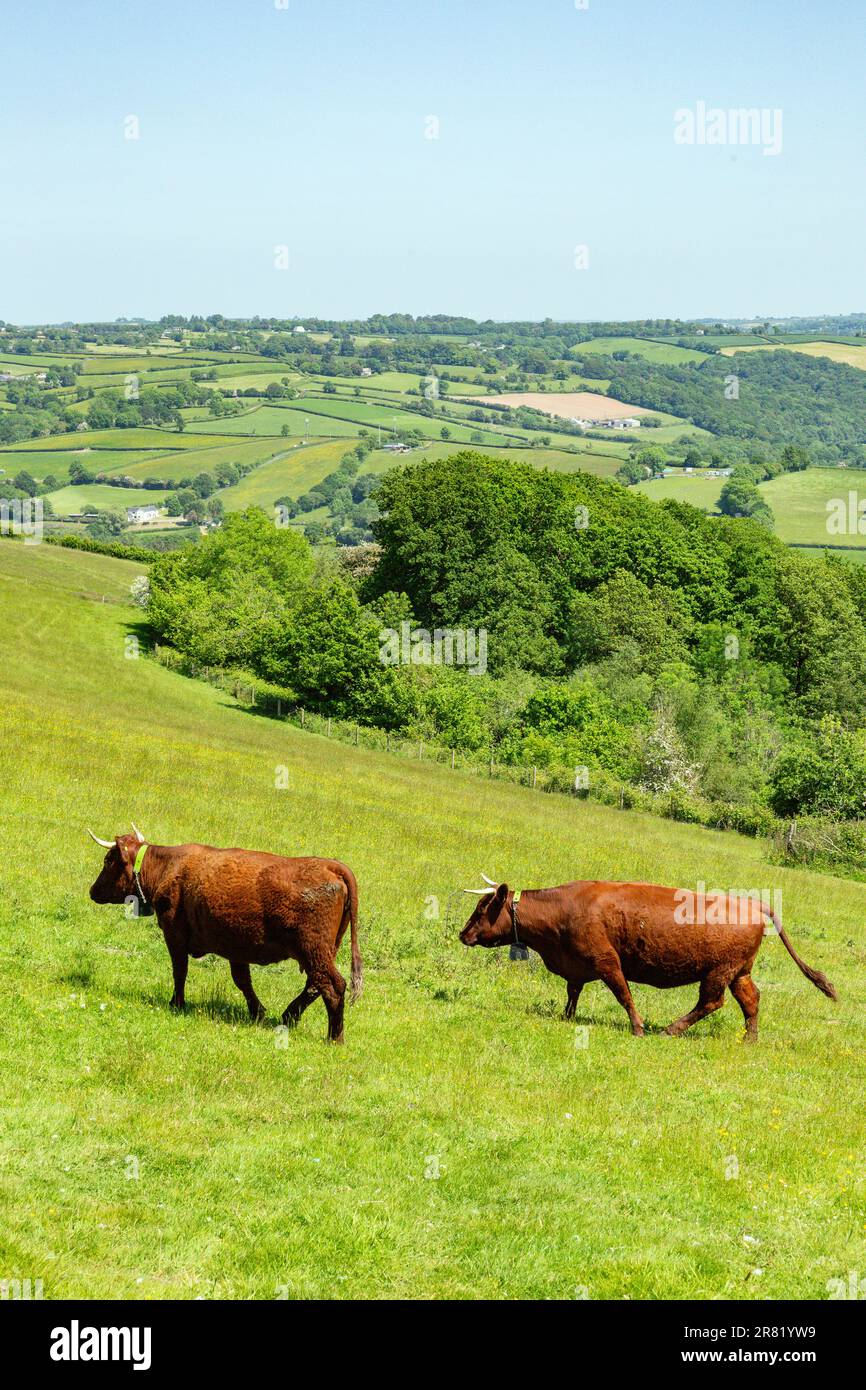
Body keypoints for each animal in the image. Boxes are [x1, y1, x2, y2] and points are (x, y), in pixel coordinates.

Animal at [87, 825, 362, 1042]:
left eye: (108, 860)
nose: (92, 891)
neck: (168, 867)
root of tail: (330, 866)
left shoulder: (175, 936)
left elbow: (180, 971)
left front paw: (177, 1003)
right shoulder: (236, 947)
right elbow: (242, 981)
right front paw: (257, 1012)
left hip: (313, 949)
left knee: (333, 986)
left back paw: (334, 1037)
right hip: (324, 950)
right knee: (315, 985)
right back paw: (289, 1016)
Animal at [459, 876, 837, 1040]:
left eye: (482, 907)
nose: (464, 934)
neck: (565, 909)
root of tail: (753, 903)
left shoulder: (607, 962)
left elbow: (624, 995)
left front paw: (638, 1027)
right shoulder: (576, 967)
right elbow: (573, 993)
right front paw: (567, 1017)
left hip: (718, 973)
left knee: (711, 1003)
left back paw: (671, 1029)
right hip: (738, 972)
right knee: (751, 1001)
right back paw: (750, 1039)